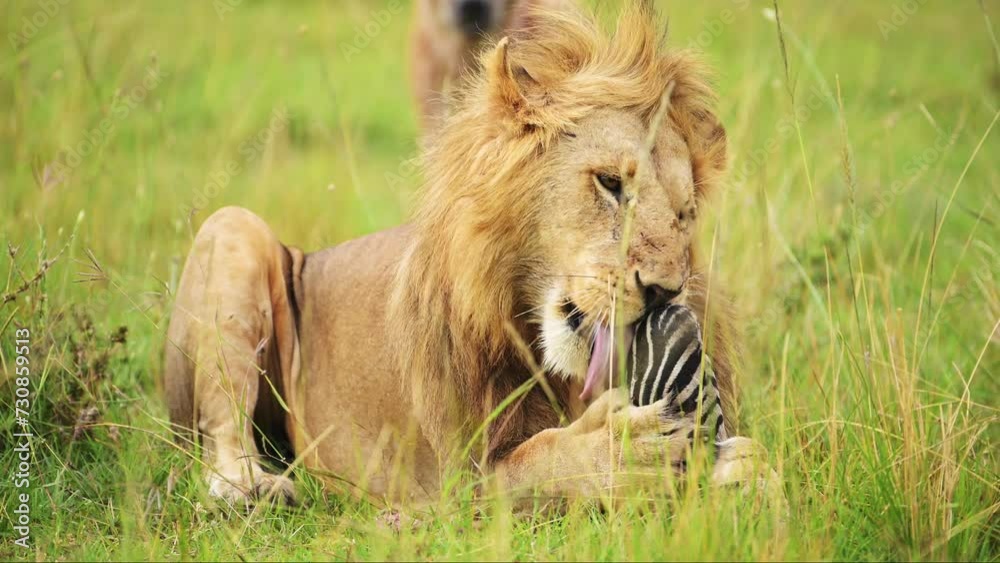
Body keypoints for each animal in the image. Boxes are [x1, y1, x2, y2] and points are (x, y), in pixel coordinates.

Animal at [165, 2, 774, 507]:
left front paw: (743, 466)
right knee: (220, 435)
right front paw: (630, 453)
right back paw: (251, 488)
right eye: (609, 183)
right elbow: (543, 457)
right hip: (232, 227)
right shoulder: (458, 485)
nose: (665, 290)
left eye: (683, 215)